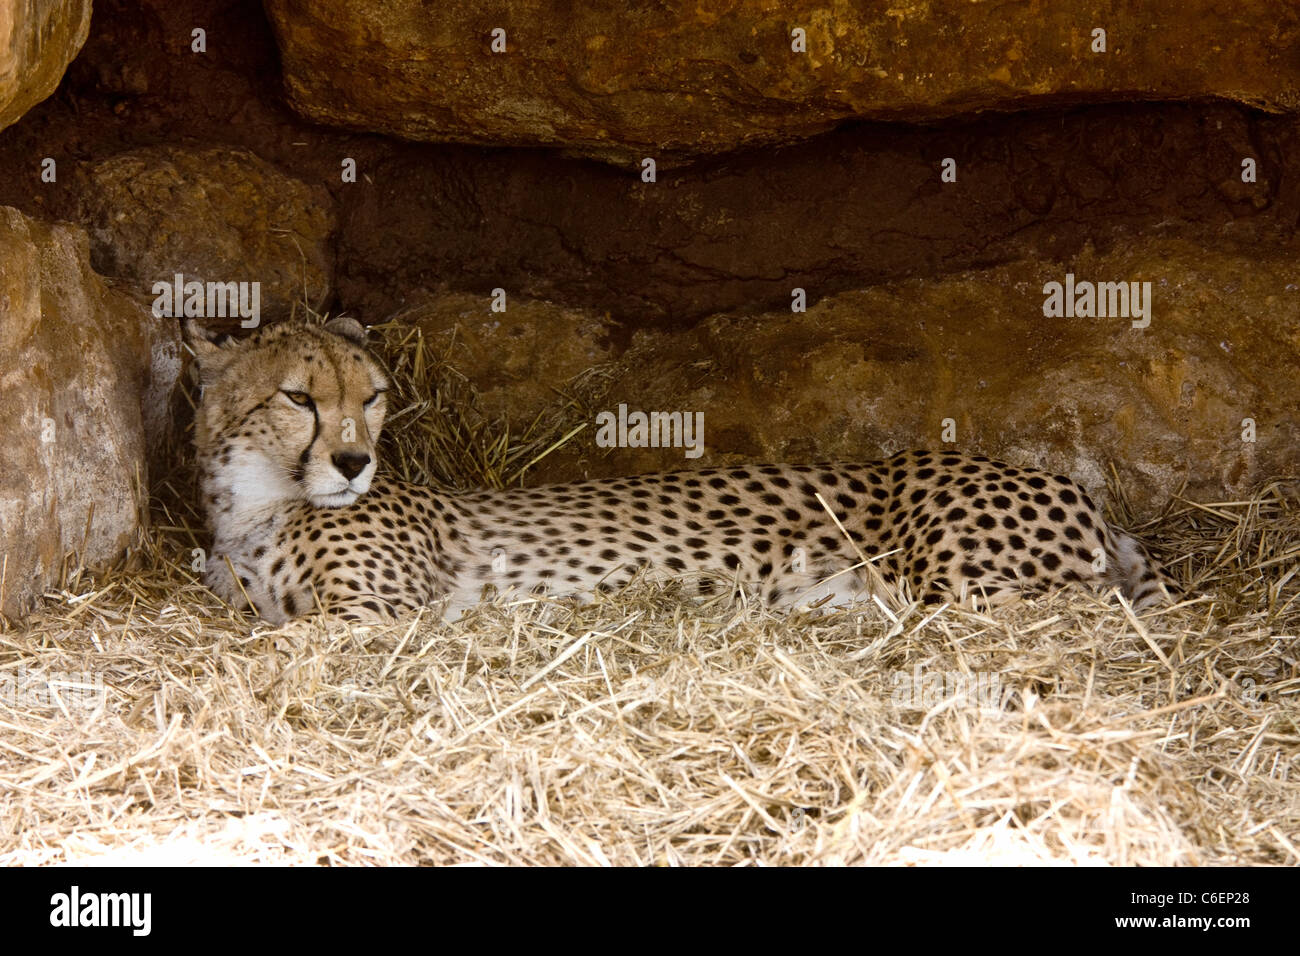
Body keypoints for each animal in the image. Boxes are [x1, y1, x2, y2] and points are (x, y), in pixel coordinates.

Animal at [183, 317, 1171, 625]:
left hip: (962, 573)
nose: (356, 460)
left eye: (375, 396)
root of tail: (1080, 491)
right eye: (299, 397)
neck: (257, 503)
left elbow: (277, 638)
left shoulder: (383, 616)